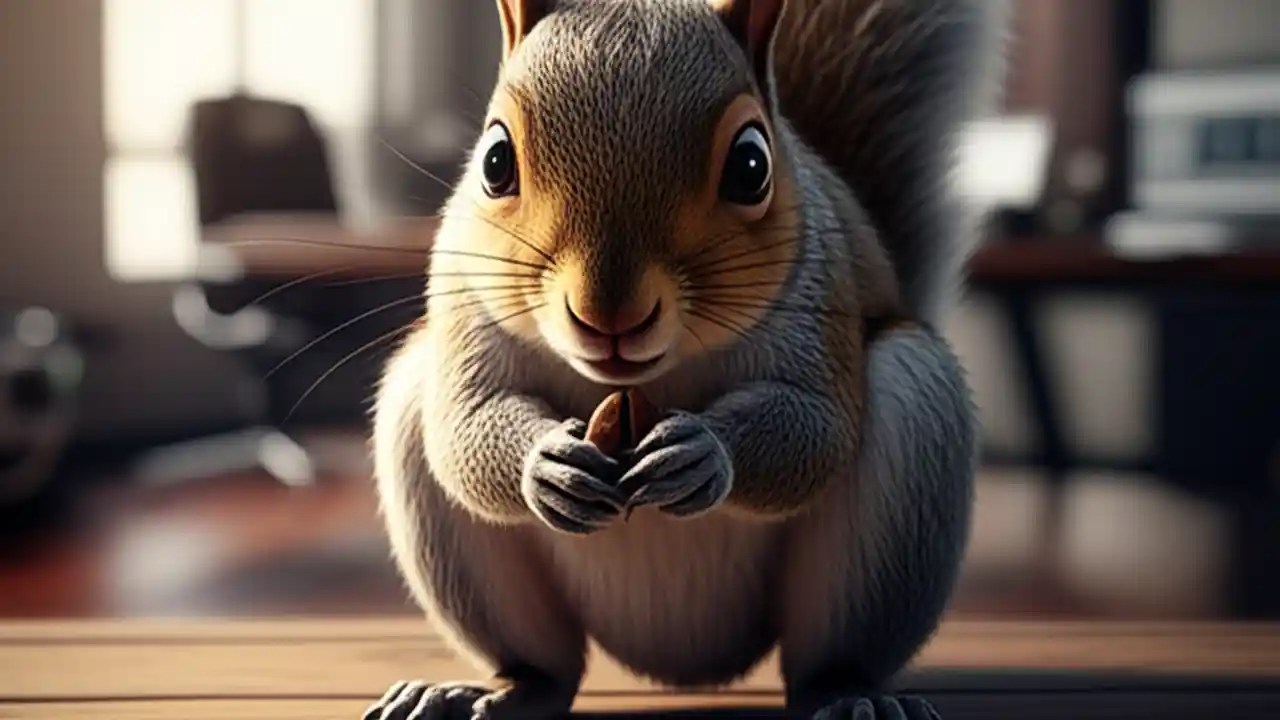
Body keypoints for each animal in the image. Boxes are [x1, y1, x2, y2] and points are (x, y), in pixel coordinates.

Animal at [369, 1, 1007, 719]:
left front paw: (704, 453)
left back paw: (849, 694)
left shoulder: (820, 301)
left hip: (904, 465)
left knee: (828, 657)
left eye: (752, 165)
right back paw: (484, 691)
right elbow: (463, 425)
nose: (608, 312)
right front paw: (546, 465)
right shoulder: (465, 306)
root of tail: (681, 661)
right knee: (546, 666)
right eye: (495, 160)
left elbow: (818, 427)